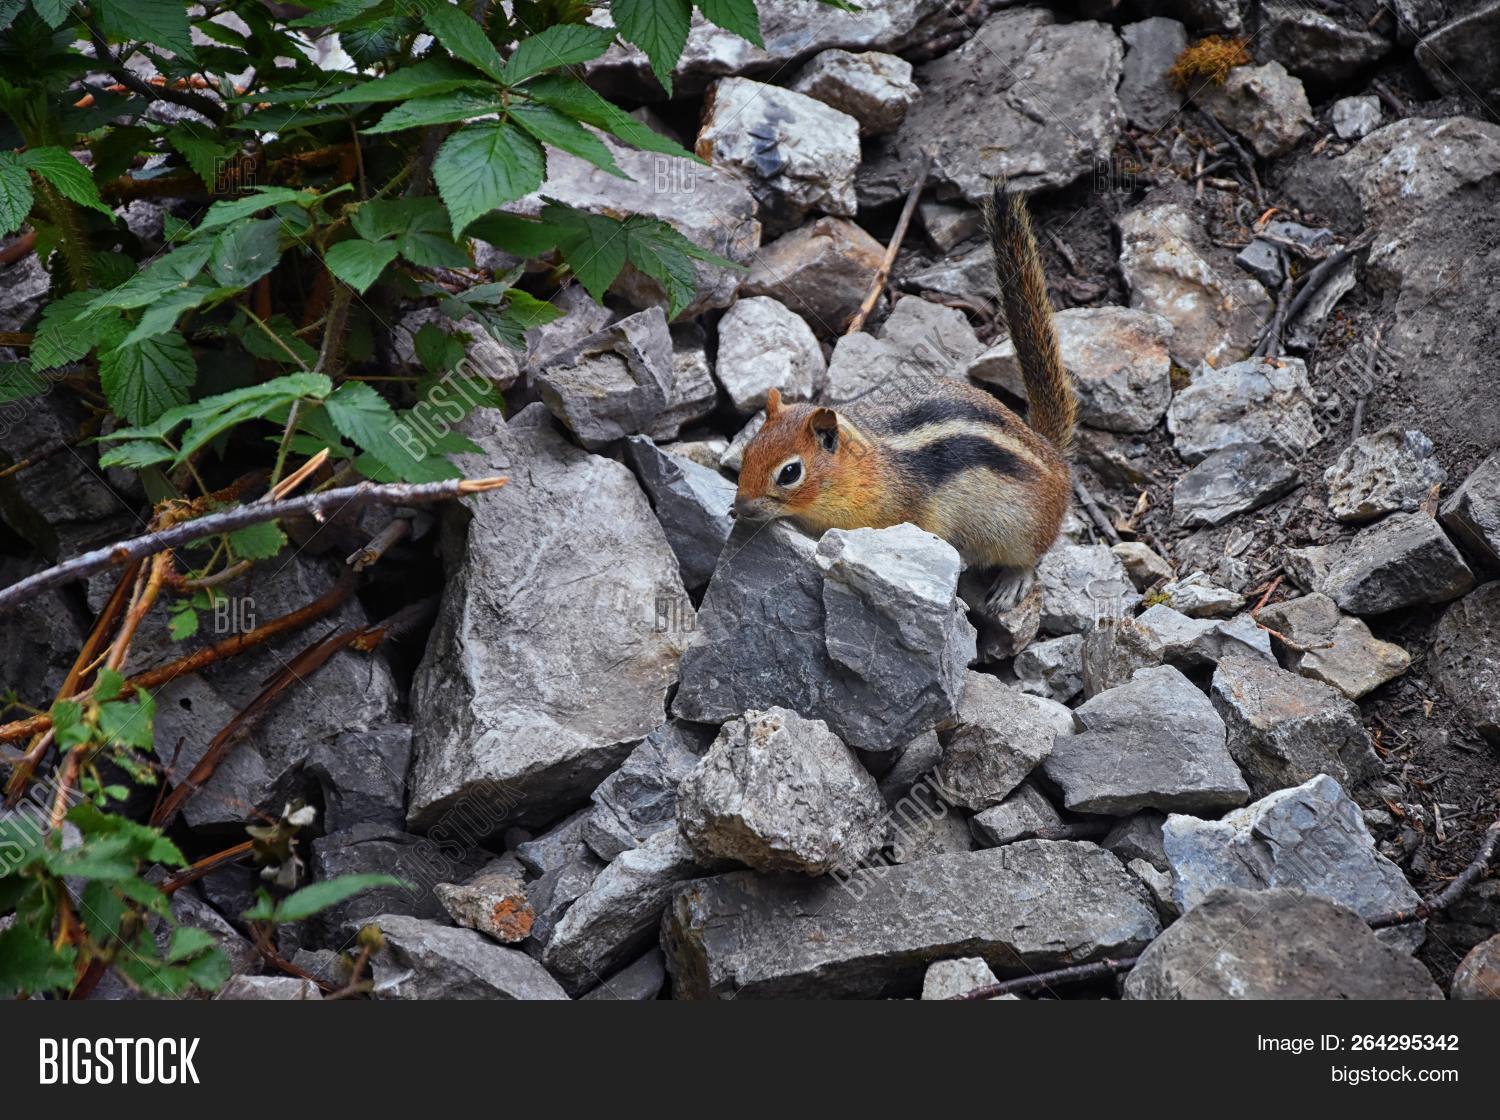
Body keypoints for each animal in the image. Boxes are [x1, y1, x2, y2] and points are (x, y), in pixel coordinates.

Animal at [732, 178, 1077, 609]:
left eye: (790, 473)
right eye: (746, 452)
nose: (741, 506)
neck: (864, 468)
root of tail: (1053, 455)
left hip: (1019, 528)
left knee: (1032, 556)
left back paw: (1014, 580)